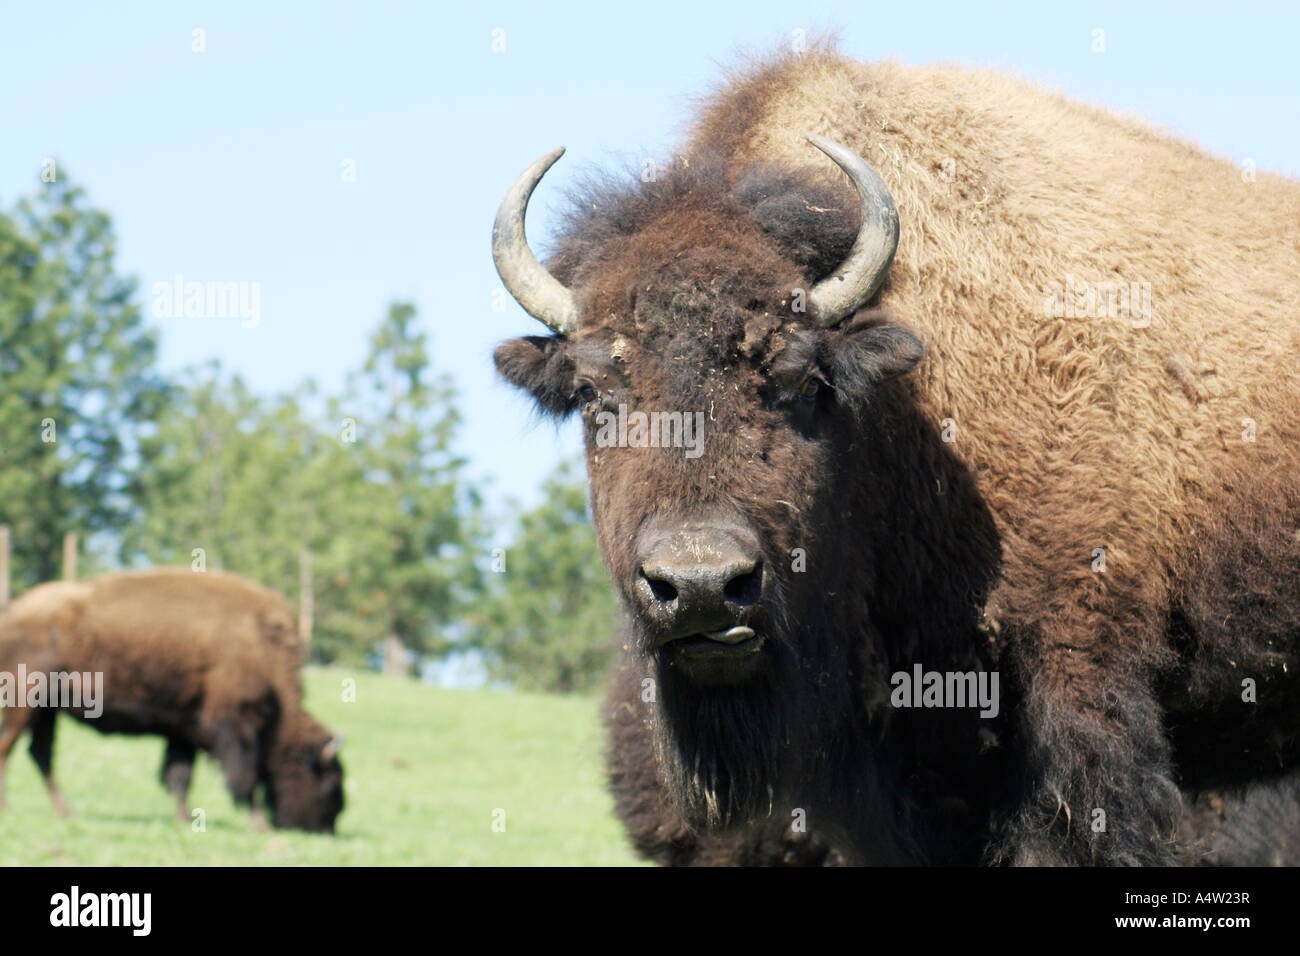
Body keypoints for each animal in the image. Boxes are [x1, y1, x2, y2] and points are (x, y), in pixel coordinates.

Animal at [0, 568, 344, 832]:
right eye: (328, 783)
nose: (325, 829)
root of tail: (13, 611)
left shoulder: (184, 731)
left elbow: (180, 775)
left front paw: (183, 818)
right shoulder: (235, 726)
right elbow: (243, 777)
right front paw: (258, 824)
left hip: (46, 712)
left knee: (40, 754)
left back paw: (66, 812)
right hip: (25, 703)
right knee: (11, 747)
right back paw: (13, 808)